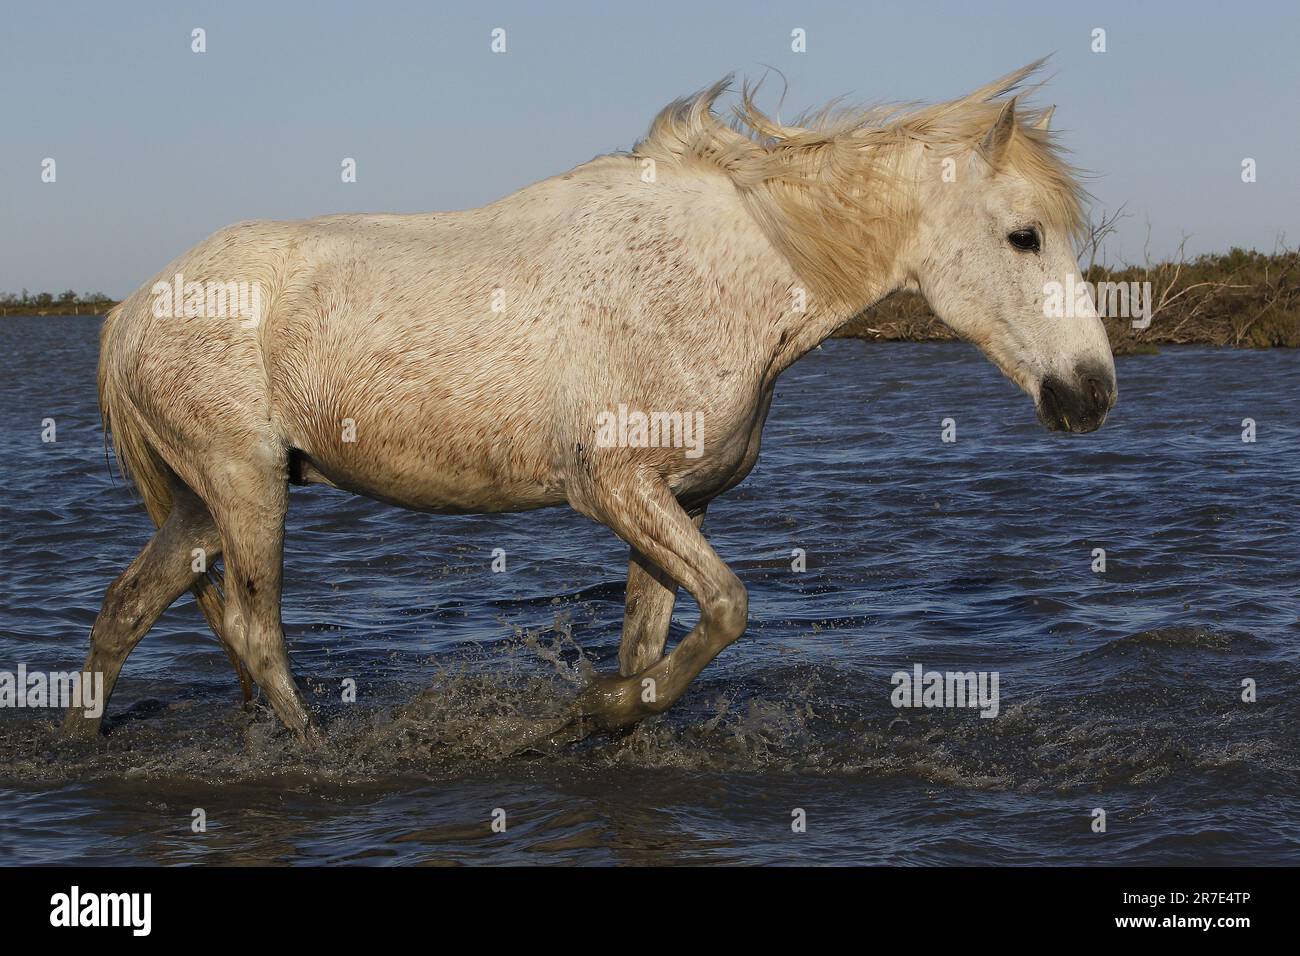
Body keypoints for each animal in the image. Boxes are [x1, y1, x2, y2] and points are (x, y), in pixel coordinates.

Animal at [64, 60, 1116, 744]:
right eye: (1024, 236)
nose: (1091, 394)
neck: (725, 275)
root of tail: (132, 310)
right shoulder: (614, 488)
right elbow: (730, 608)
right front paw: (585, 710)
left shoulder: (678, 502)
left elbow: (654, 642)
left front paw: (613, 714)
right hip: (244, 487)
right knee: (258, 634)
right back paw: (318, 755)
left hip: (207, 501)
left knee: (123, 614)